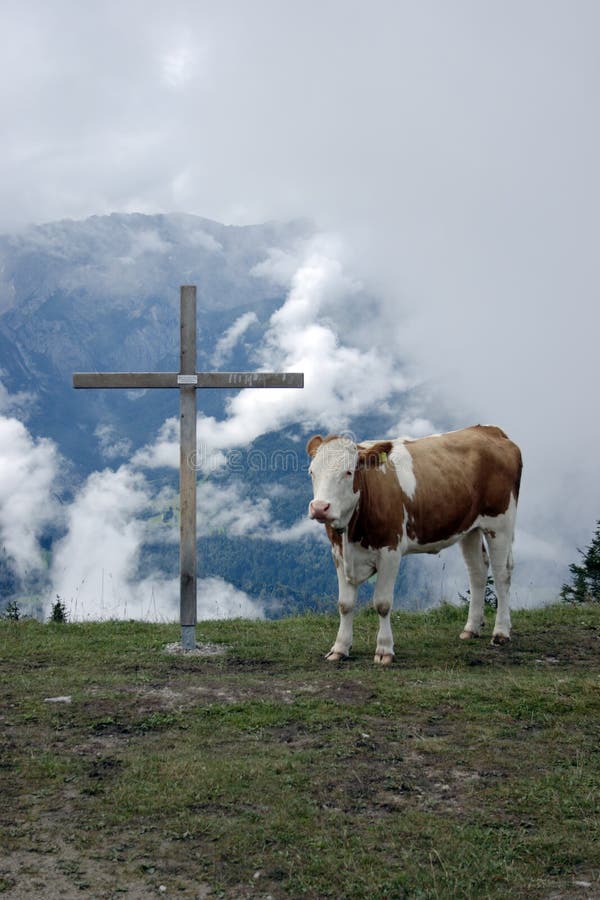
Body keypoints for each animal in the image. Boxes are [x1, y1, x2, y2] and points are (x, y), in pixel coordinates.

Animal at [307, 425, 522, 664]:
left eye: (348, 472)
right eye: (312, 472)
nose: (319, 507)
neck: (350, 533)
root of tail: (490, 430)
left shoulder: (390, 551)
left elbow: (382, 603)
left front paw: (384, 649)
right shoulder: (338, 554)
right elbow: (345, 604)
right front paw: (340, 648)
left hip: (500, 523)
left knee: (502, 575)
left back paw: (501, 632)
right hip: (470, 528)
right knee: (478, 572)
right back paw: (471, 629)